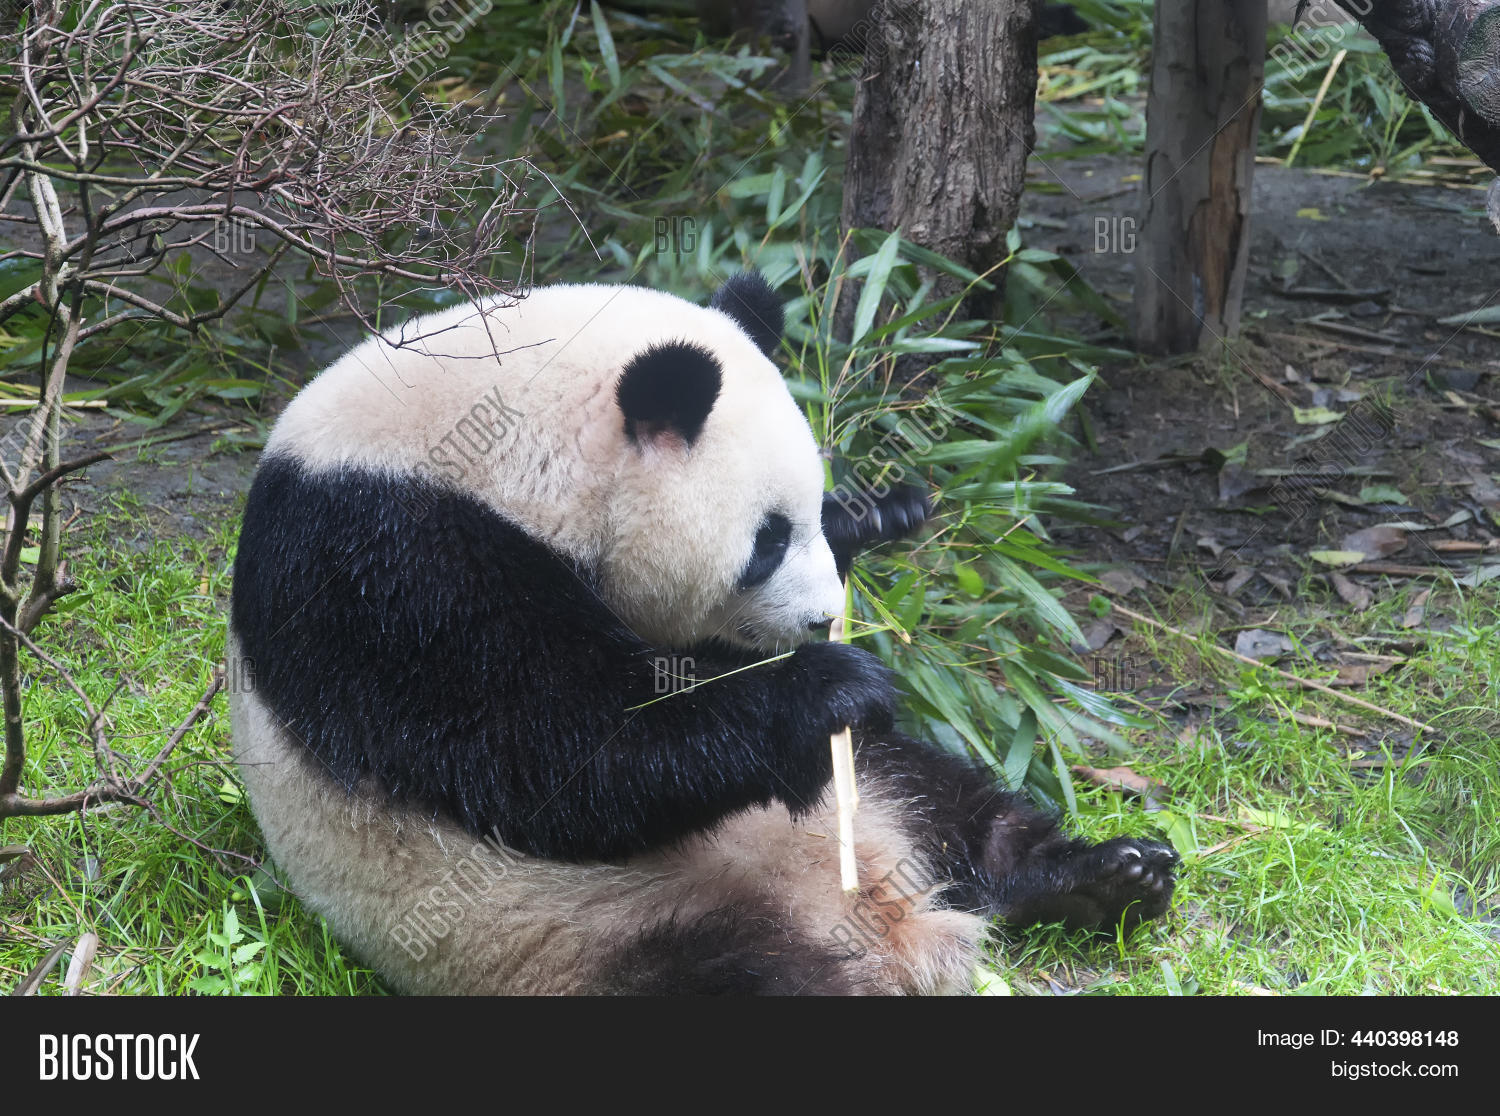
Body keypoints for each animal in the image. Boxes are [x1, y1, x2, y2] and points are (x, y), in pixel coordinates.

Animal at [227, 272, 1178, 995]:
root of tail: (875, 924)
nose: (821, 618)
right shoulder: (386, 567)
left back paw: (1105, 876)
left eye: (809, 521)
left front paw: (879, 515)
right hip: (588, 934)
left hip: (864, 793)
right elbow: (550, 752)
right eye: (766, 541)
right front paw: (832, 684)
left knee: (947, 797)